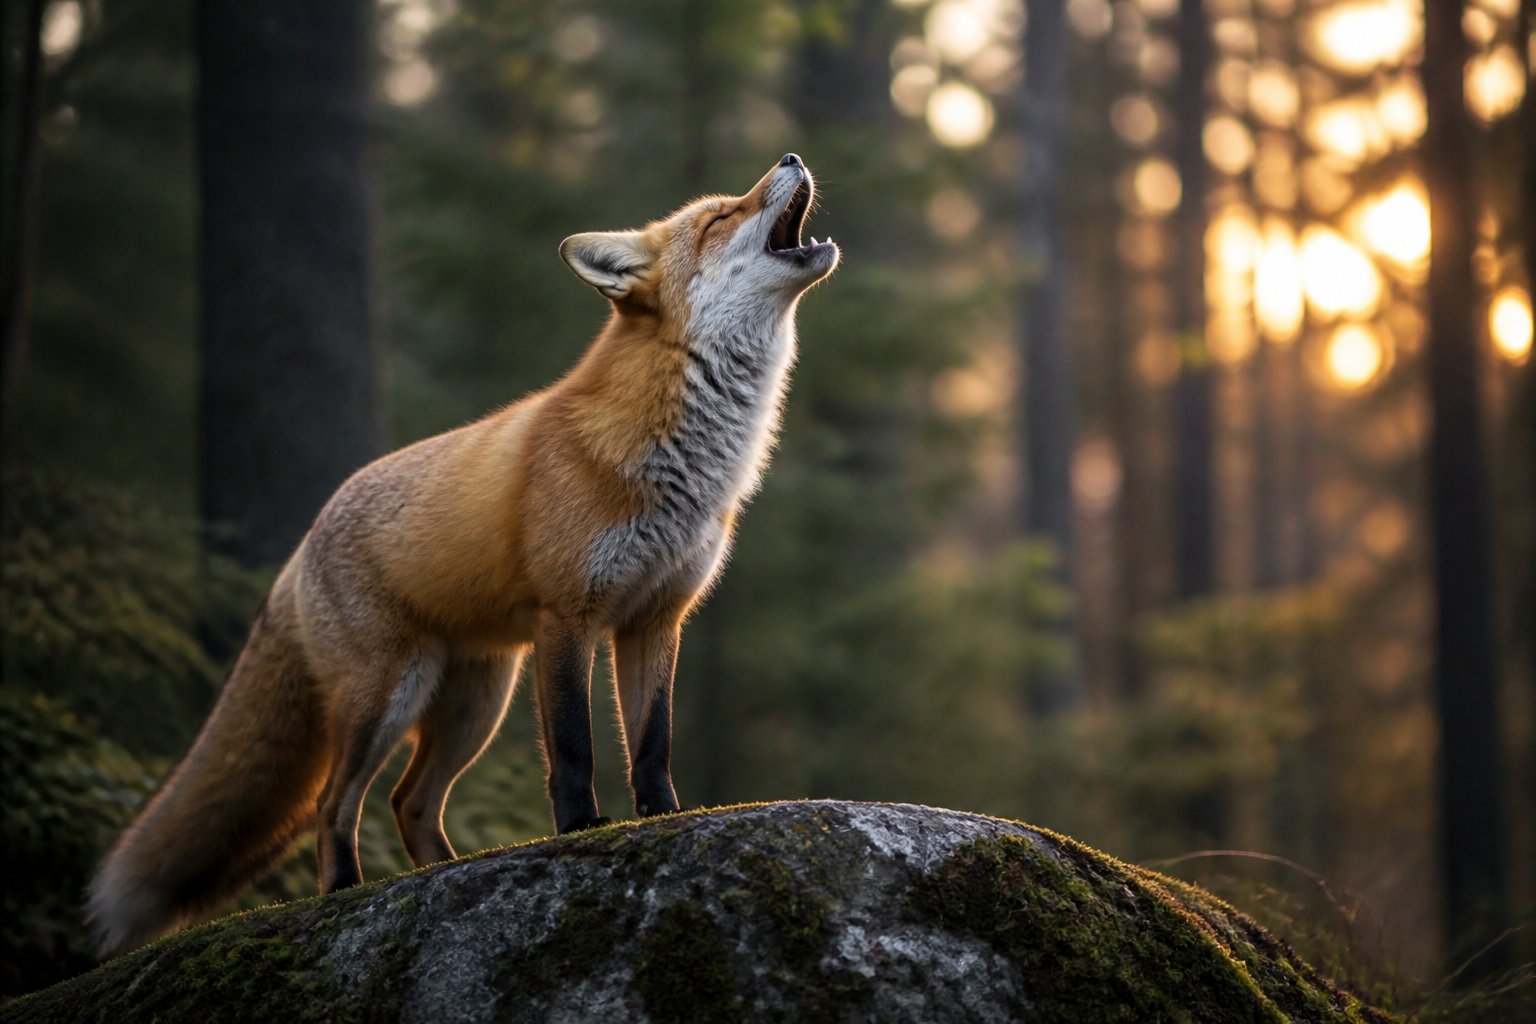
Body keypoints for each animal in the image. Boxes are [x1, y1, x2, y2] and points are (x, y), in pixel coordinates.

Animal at [87, 153, 838, 957]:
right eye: (721, 217)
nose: (792, 158)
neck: (685, 462)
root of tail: (304, 543)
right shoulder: (566, 615)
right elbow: (573, 746)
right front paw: (581, 828)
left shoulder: (656, 618)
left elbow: (652, 742)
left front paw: (663, 817)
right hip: (387, 696)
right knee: (333, 803)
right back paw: (347, 891)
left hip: (475, 704)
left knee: (408, 802)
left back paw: (441, 878)